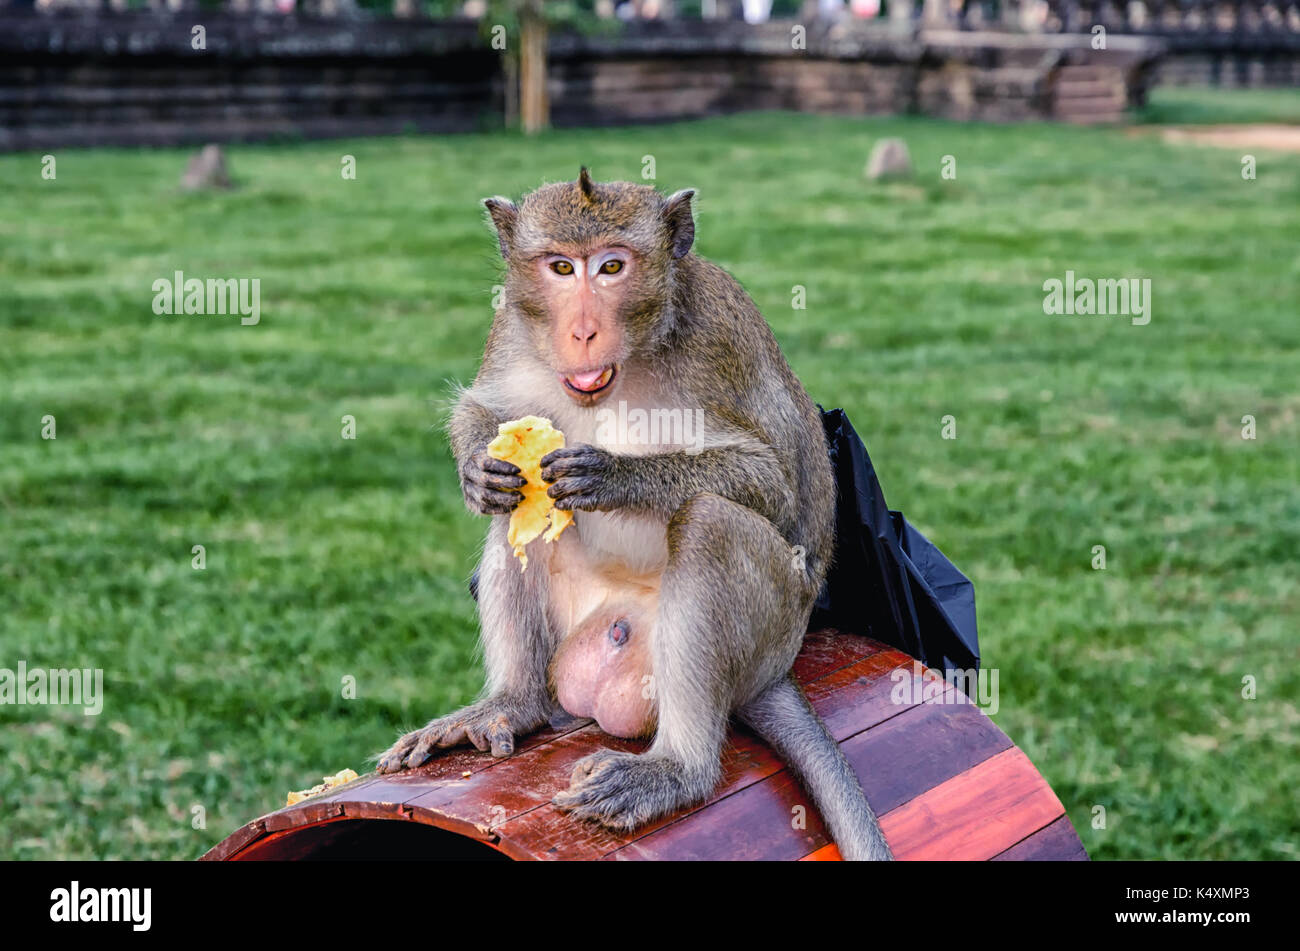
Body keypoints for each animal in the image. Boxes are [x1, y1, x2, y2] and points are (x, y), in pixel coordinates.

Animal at [376, 168, 893, 861]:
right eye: (561, 267)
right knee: (521, 519)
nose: (582, 331)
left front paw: (614, 476)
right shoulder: (510, 329)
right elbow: (486, 412)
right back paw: (511, 704)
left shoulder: (717, 344)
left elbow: (772, 483)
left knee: (709, 523)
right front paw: (478, 469)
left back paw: (677, 768)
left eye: (612, 266)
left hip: (774, 624)